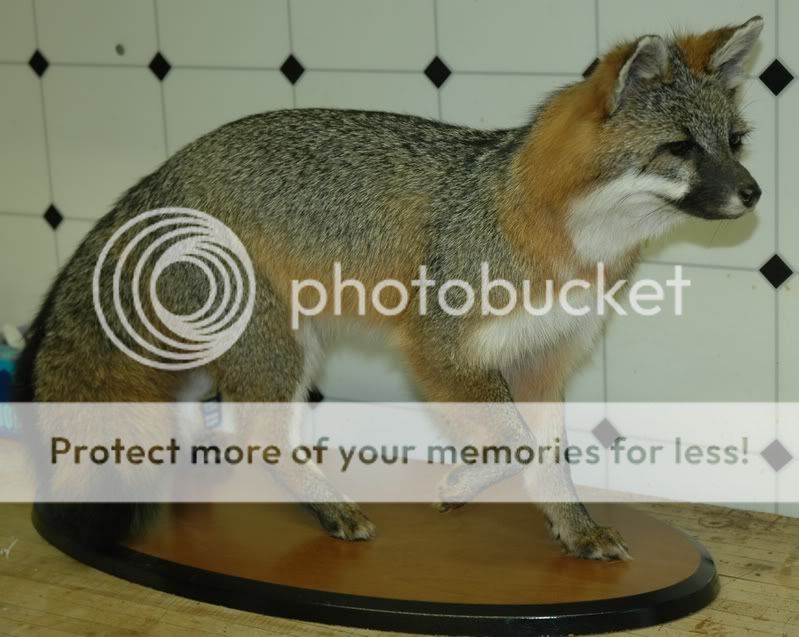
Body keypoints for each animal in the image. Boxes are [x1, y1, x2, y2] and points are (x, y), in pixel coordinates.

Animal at [15, 17, 763, 561]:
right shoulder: (441, 352)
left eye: (733, 141)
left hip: (212, 360)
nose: (754, 192)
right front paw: (459, 484)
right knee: (254, 439)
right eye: (679, 148)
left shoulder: (543, 360)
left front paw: (572, 528)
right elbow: (513, 446)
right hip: (279, 351)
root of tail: (162, 171)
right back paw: (329, 509)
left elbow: (547, 457)